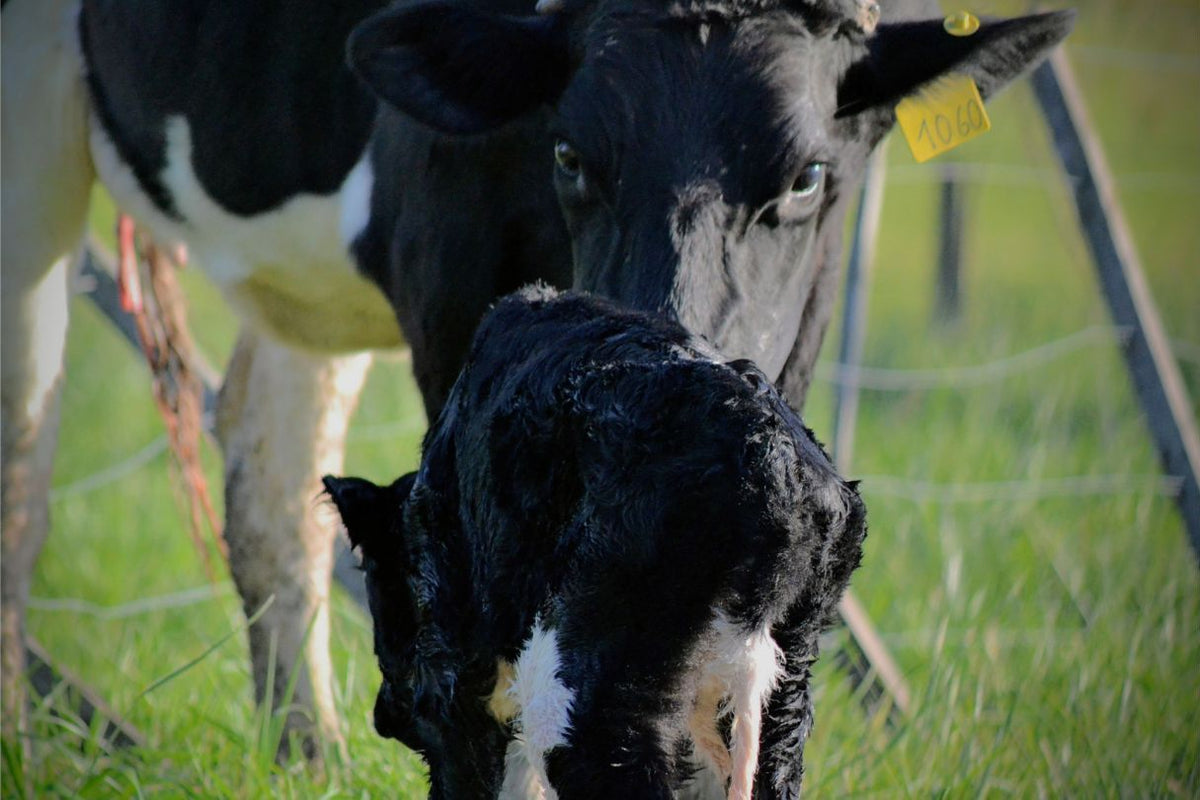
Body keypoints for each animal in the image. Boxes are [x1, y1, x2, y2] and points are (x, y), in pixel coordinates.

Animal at [325, 285, 869, 799]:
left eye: (379, 591)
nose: (381, 718)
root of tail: (777, 463)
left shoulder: (449, 679)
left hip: (583, 692)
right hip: (779, 690)